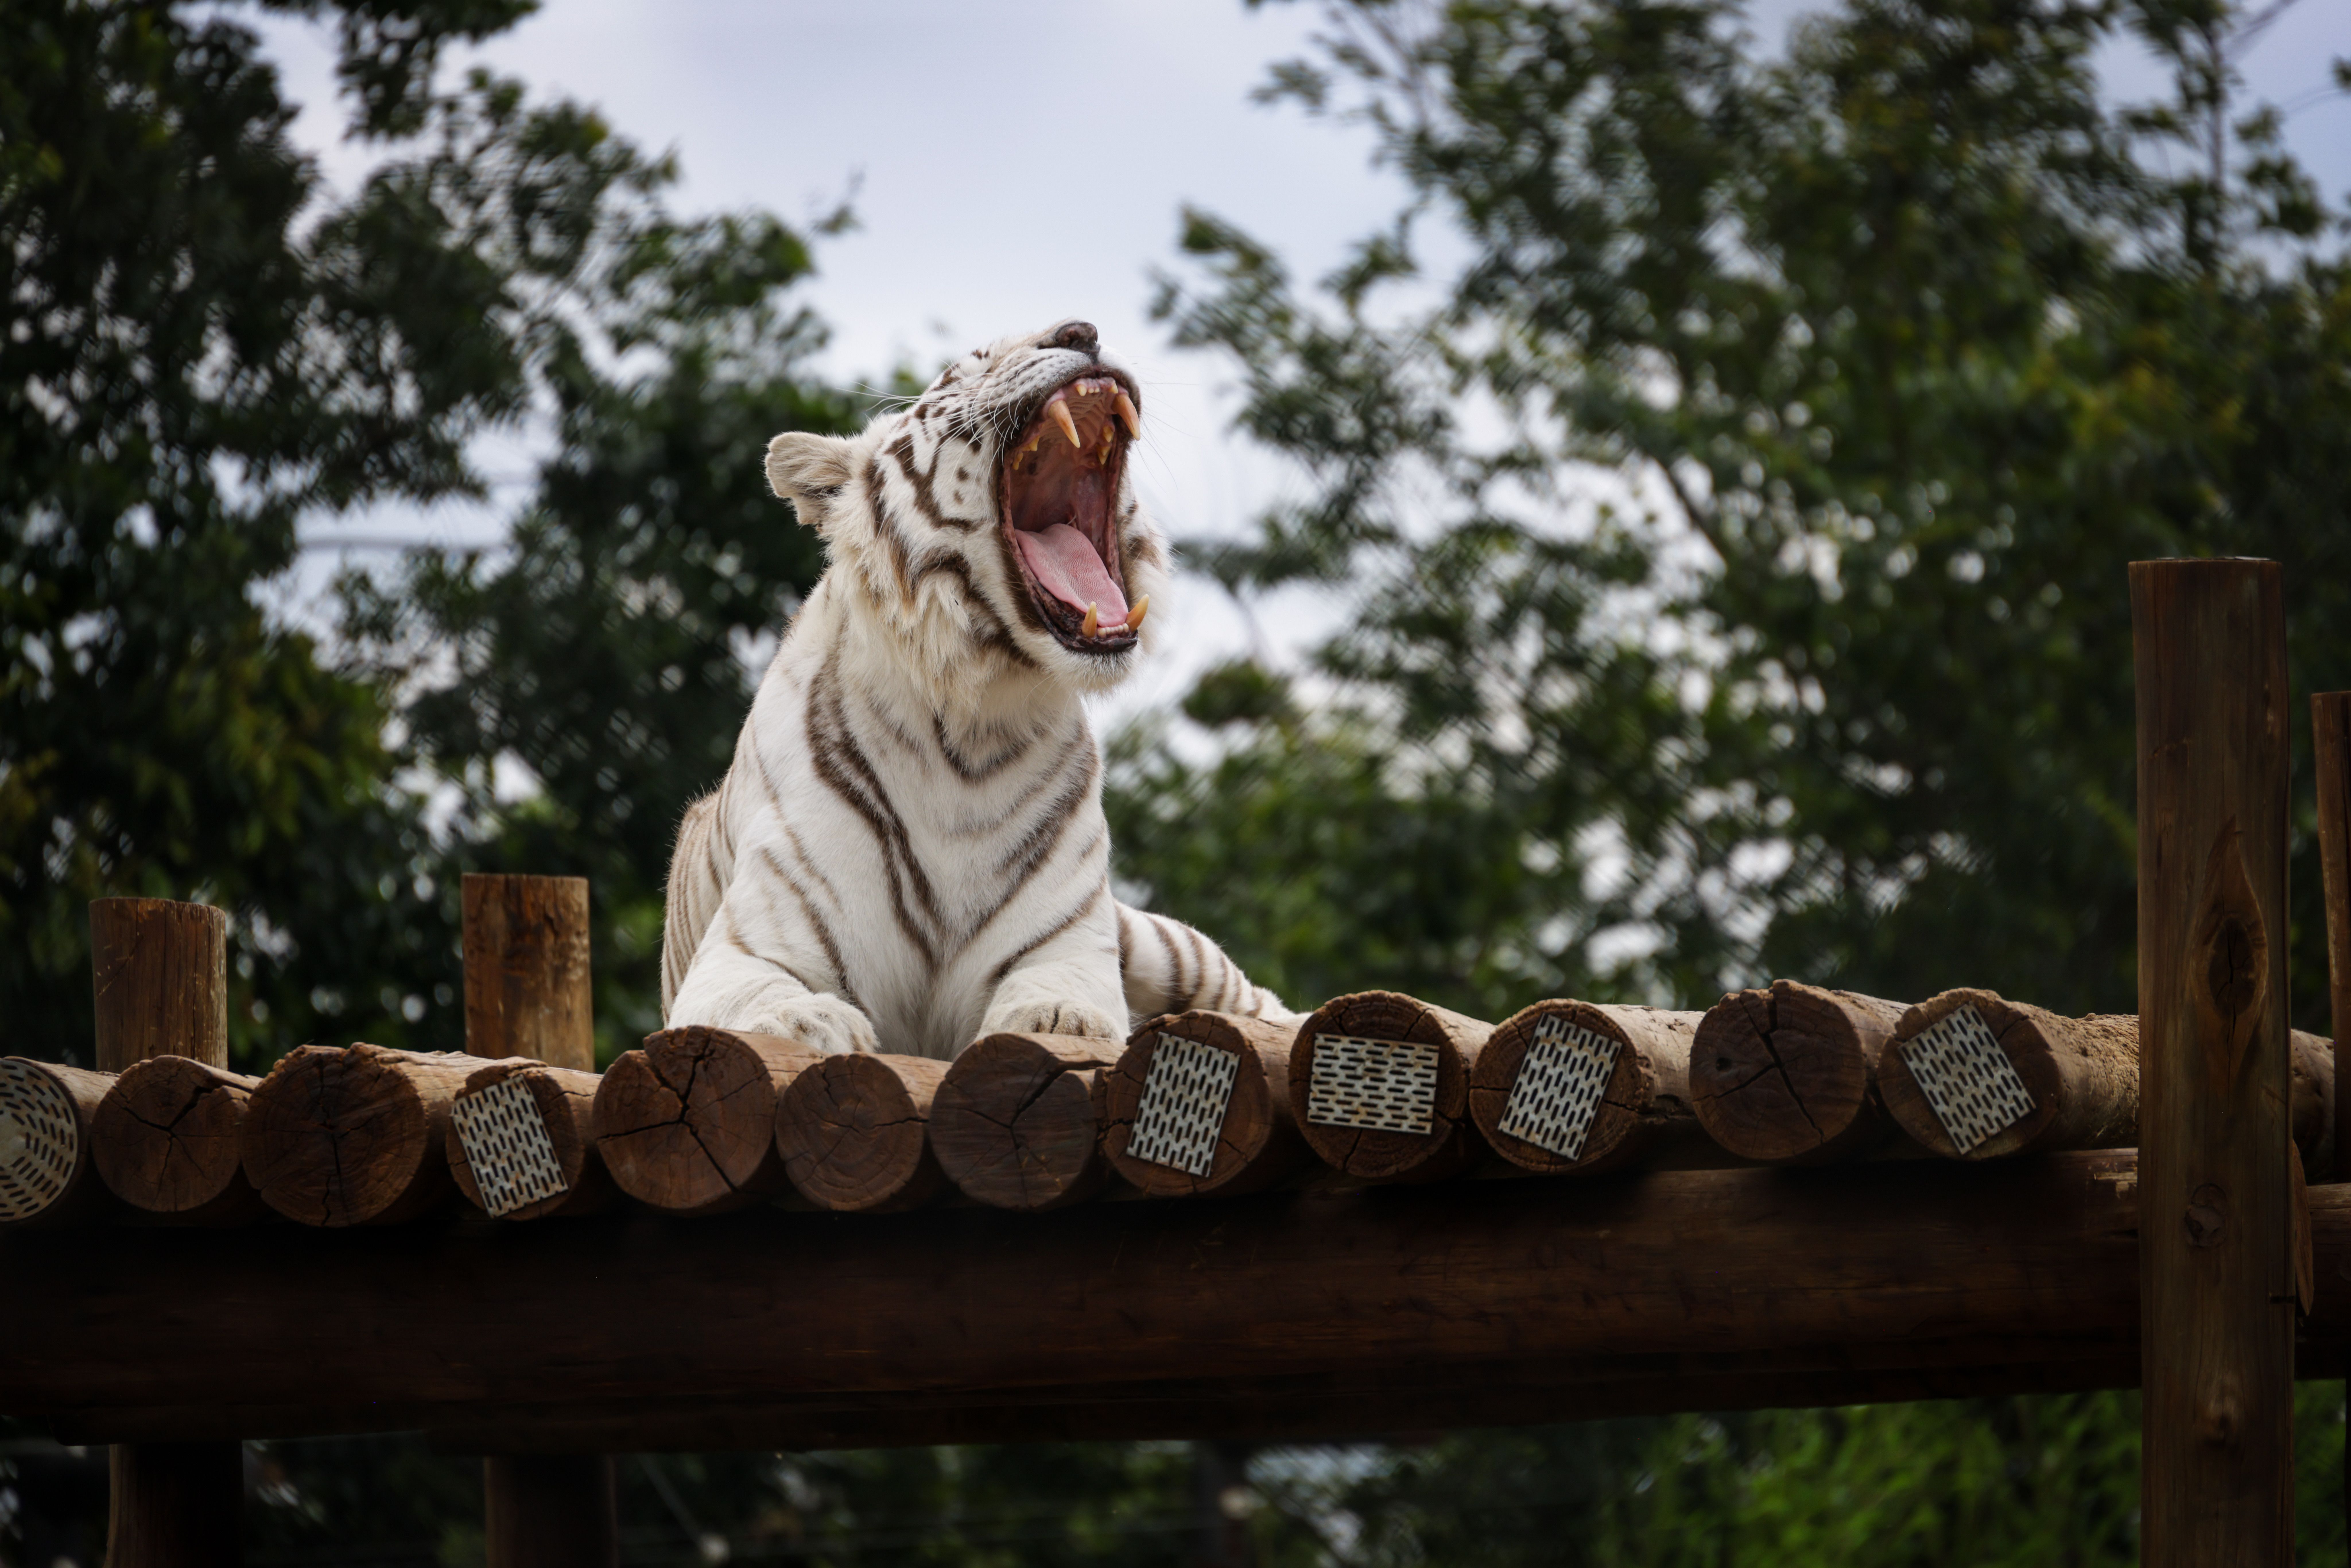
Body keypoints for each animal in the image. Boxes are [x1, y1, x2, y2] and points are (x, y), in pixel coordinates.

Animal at [659, 318, 1298, 1059]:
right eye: (970, 366)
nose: (1083, 330)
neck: (969, 724)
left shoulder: (1067, 941)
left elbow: (1062, 999)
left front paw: (1056, 1019)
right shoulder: (745, 950)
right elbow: (767, 1006)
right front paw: (812, 1020)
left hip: (1152, 938)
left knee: (1256, 1000)